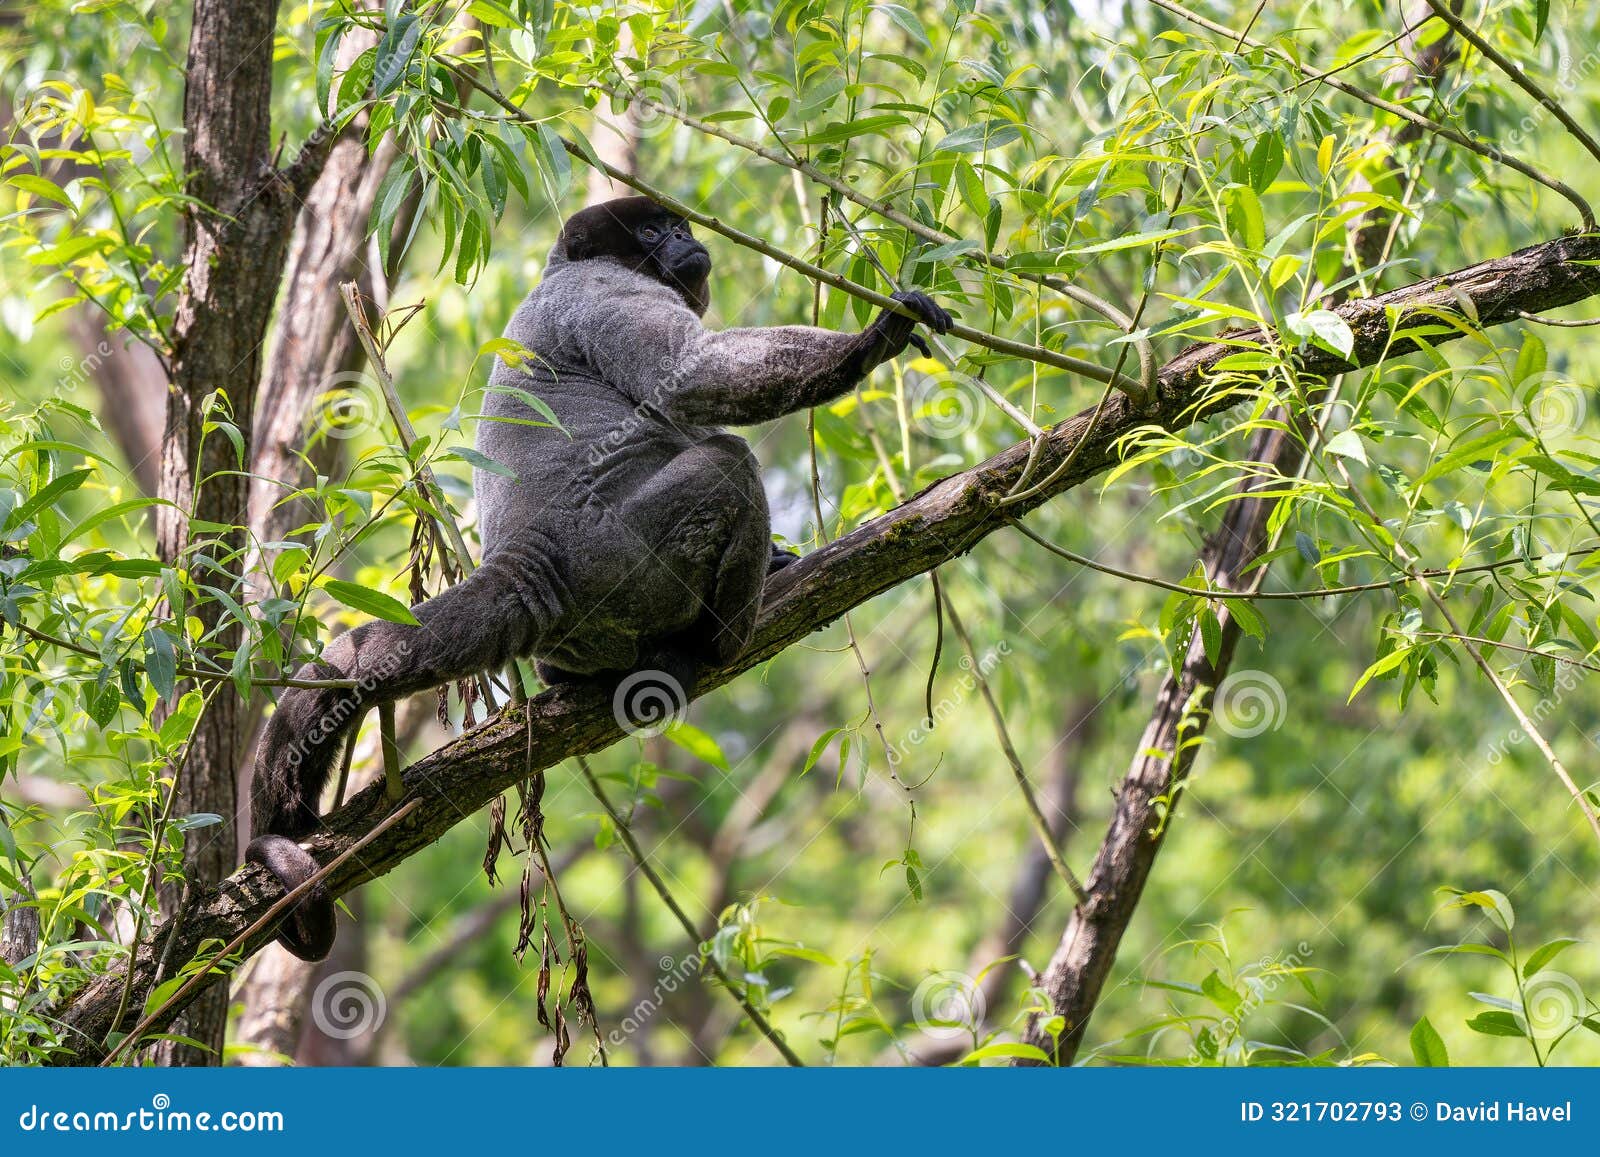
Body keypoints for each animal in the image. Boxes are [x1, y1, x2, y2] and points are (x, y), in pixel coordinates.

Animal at [247, 195, 952, 960]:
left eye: (676, 226)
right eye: (648, 232)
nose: (680, 239)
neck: (566, 269)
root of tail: (530, 564)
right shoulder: (605, 290)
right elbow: (693, 372)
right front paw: (875, 337)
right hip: (624, 564)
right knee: (725, 461)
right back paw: (715, 643)